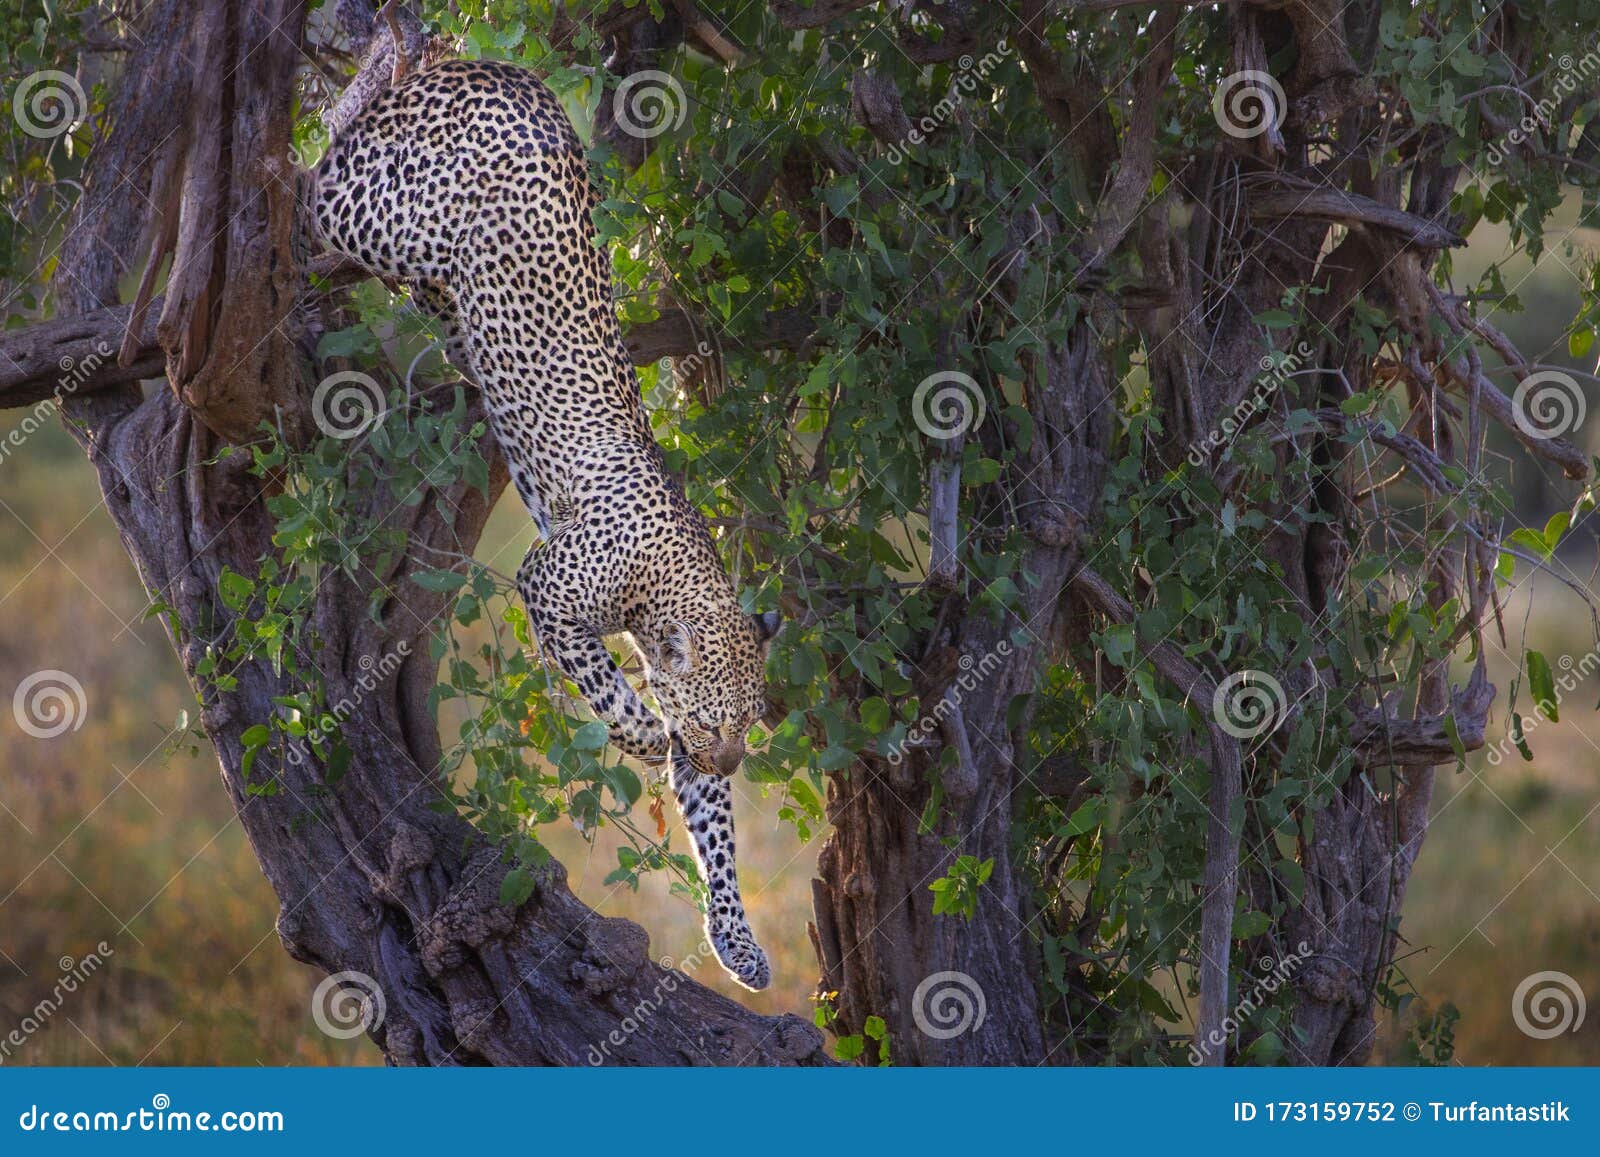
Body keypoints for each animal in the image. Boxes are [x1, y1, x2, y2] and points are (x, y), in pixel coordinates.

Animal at [308, 18, 776, 991]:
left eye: (750, 724)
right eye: (720, 721)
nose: (722, 753)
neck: (674, 582)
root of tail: (500, 73)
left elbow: (716, 830)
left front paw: (738, 941)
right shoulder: (548, 584)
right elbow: (600, 682)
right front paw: (641, 735)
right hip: (393, 219)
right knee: (320, 178)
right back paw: (351, 99)